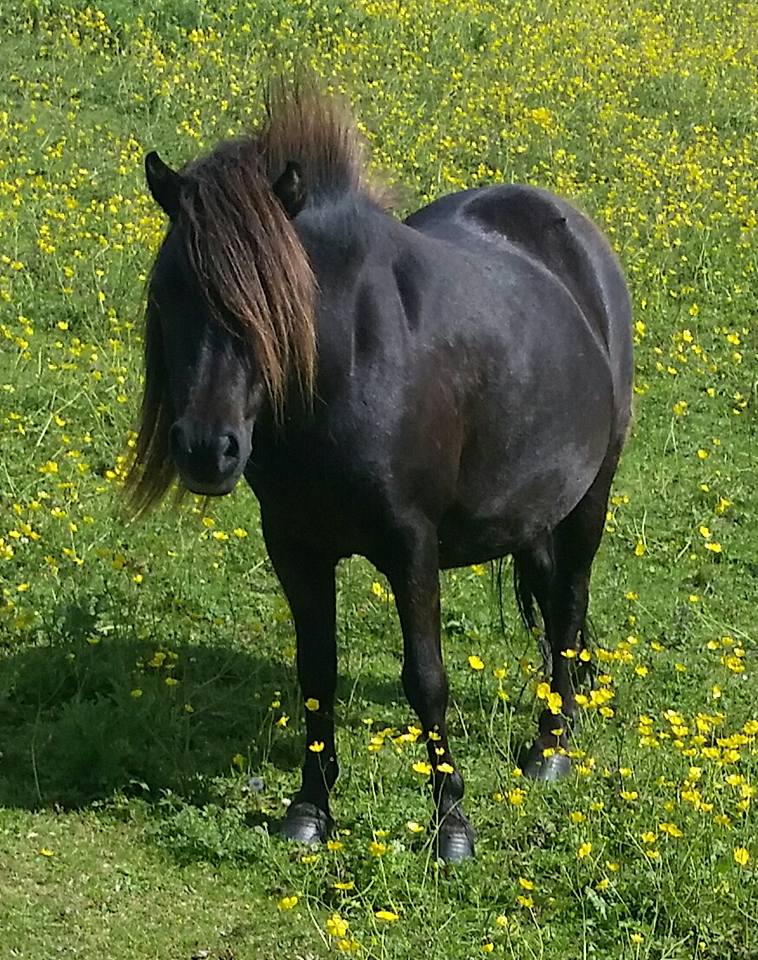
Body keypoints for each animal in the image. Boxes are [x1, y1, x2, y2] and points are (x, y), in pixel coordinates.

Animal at [127, 86, 633, 862]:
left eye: (271, 300)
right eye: (169, 291)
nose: (207, 450)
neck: (347, 368)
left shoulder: (411, 546)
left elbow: (426, 680)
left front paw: (452, 824)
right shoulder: (295, 547)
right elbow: (316, 673)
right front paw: (309, 809)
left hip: (590, 498)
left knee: (571, 610)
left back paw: (551, 750)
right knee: (554, 610)